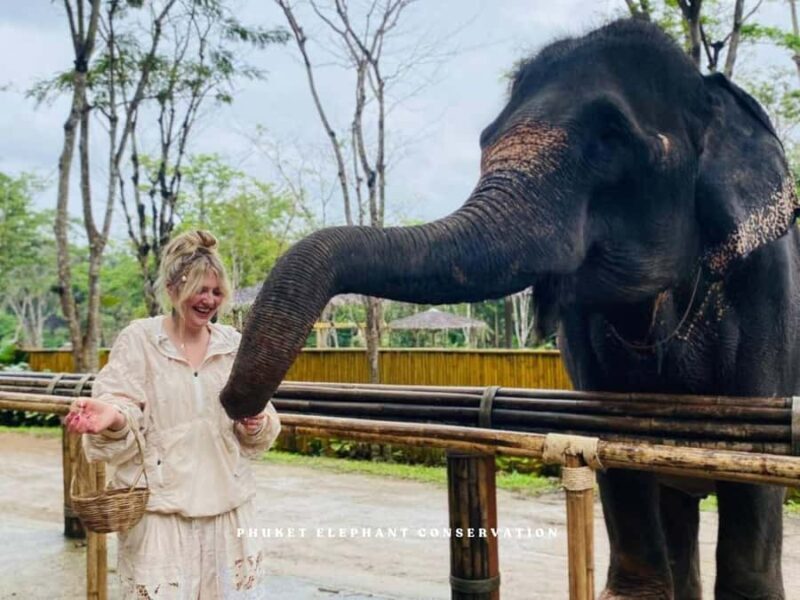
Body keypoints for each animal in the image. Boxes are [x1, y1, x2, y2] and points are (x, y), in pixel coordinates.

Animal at [221, 19, 800, 599]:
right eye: (485, 139)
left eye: (611, 139)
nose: (232, 404)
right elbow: (612, 444)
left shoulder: (768, 291)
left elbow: (755, 467)